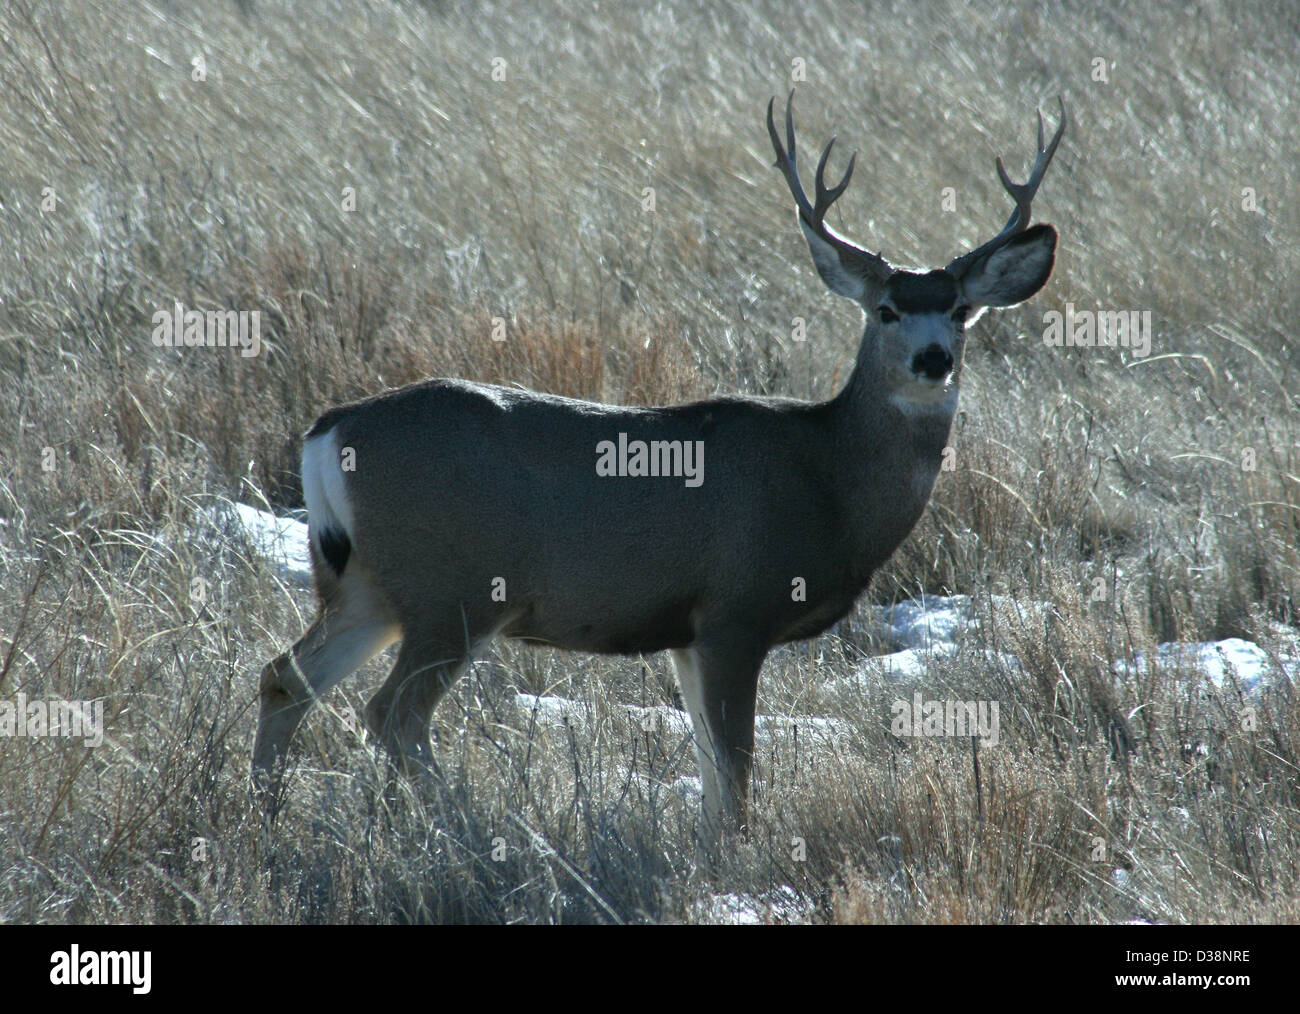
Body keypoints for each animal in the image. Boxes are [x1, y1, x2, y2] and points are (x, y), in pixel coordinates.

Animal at [252, 92, 1066, 859]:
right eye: (889, 309)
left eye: (959, 310)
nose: (934, 359)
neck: (829, 478)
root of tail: (328, 431)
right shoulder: (736, 610)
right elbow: (736, 765)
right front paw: (737, 859)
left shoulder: (684, 629)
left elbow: (708, 761)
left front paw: (710, 850)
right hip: (452, 587)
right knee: (391, 714)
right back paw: (467, 829)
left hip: (367, 586)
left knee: (284, 675)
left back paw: (267, 814)